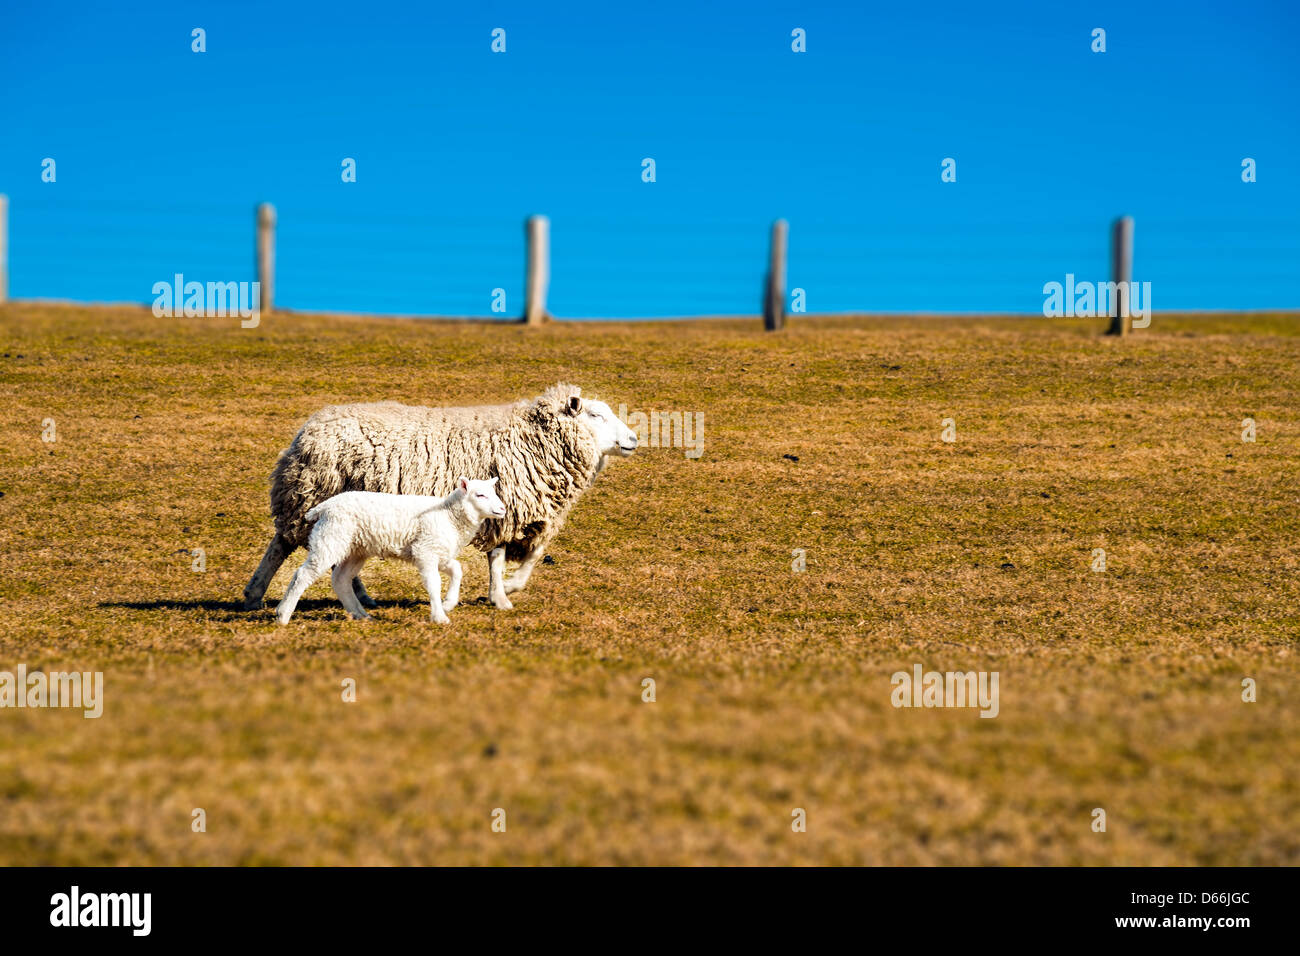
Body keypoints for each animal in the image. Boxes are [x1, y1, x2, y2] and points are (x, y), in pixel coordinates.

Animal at [275, 477, 507, 625]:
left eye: (494, 493)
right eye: (480, 495)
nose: (503, 509)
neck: (449, 515)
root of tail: (322, 508)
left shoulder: (437, 551)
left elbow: (457, 570)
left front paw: (448, 603)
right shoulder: (425, 550)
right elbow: (434, 583)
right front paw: (440, 617)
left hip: (355, 549)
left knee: (340, 579)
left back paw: (361, 614)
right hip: (331, 538)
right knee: (303, 574)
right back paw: (283, 615)